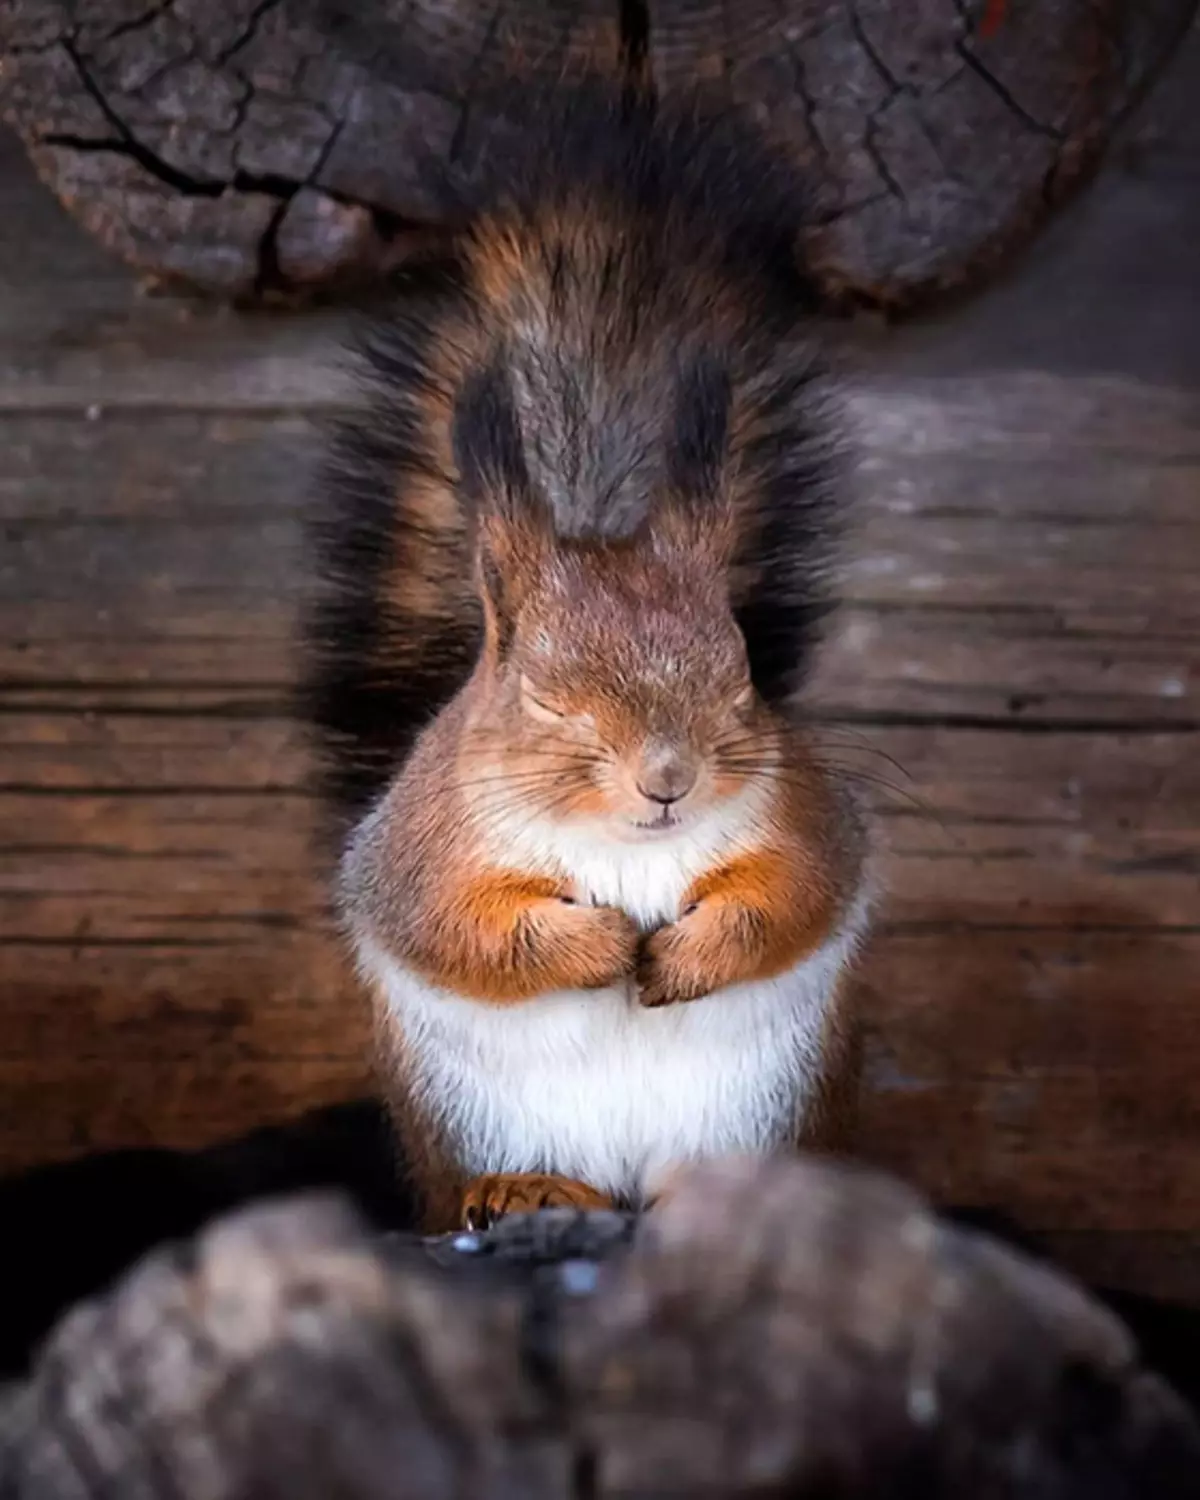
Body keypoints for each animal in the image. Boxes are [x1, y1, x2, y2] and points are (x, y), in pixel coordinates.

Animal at [307, 73, 870, 1230]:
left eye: (741, 678)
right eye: (545, 697)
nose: (669, 779)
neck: (627, 846)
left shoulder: (806, 811)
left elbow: (793, 894)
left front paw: (685, 954)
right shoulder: (424, 845)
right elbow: (463, 930)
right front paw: (602, 945)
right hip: (468, 1122)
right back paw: (525, 1187)